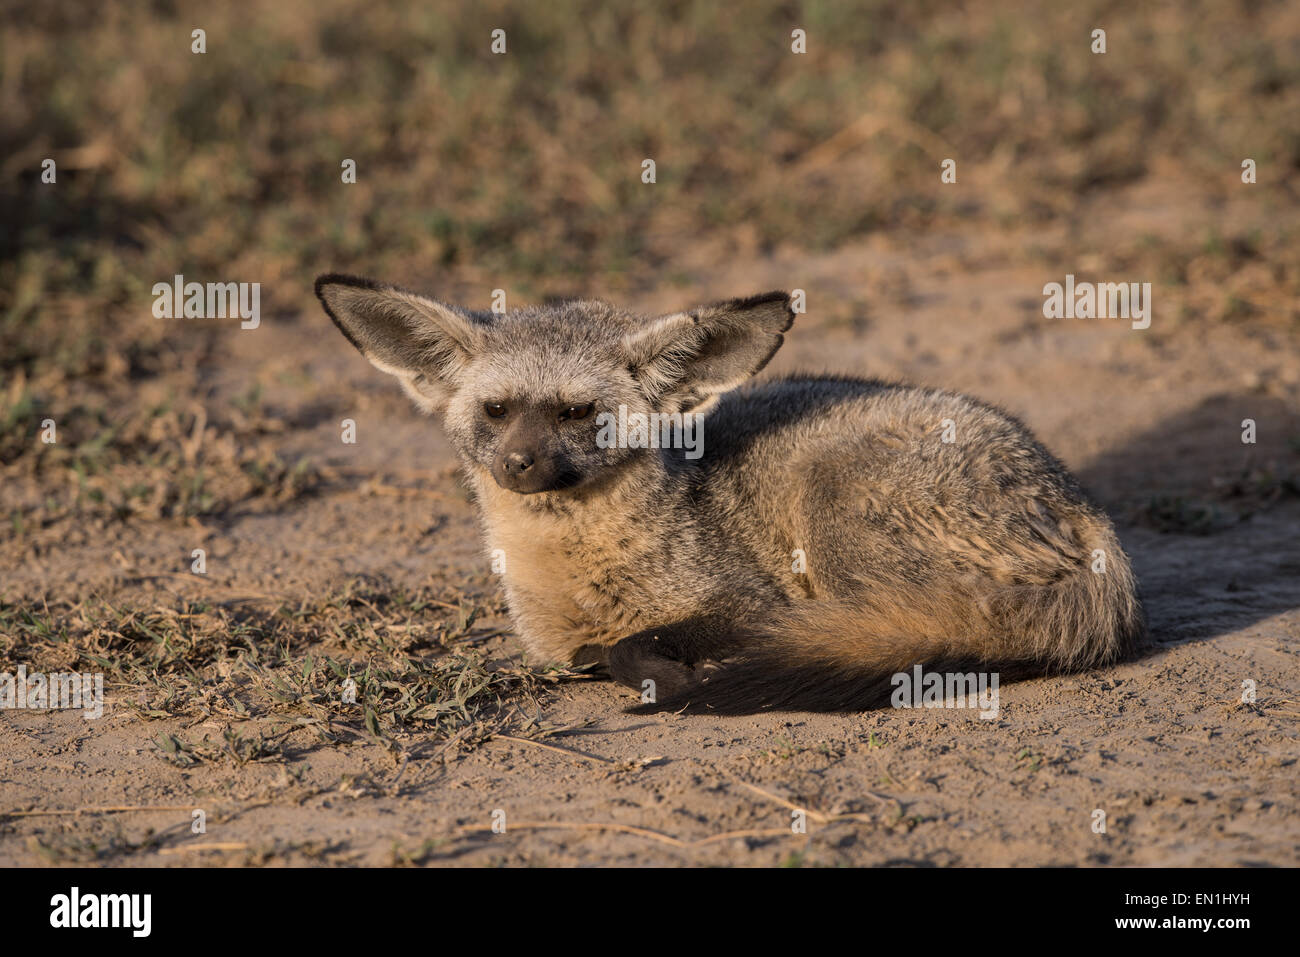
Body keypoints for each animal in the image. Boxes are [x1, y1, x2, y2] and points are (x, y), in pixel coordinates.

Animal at [315, 274, 1145, 714]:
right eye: (496, 410)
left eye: (577, 413)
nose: (518, 463)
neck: (583, 575)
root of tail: (1084, 509)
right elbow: (594, 649)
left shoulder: (755, 598)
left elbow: (638, 643)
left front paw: (669, 666)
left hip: (833, 517)